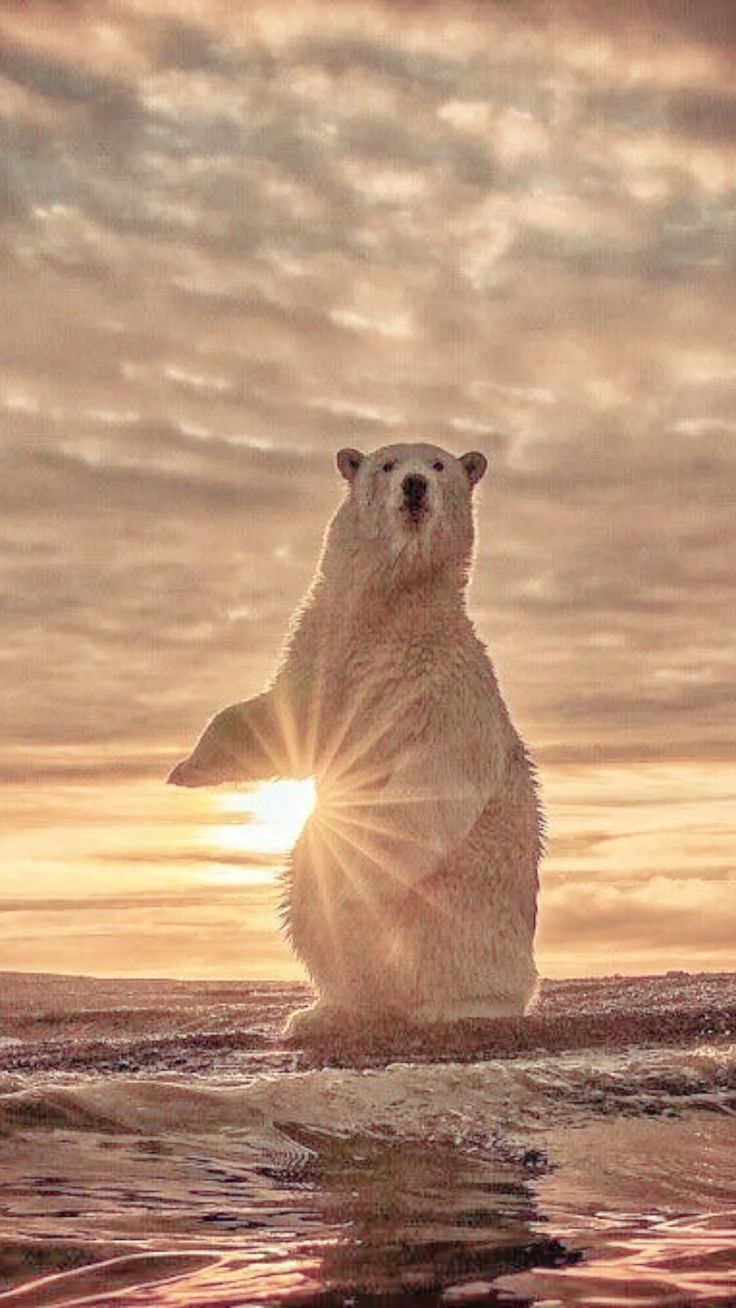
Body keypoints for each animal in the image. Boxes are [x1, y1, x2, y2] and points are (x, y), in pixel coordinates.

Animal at [168, 443, 542, 1041]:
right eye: (388, 464)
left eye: (439, 465)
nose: (414, 485)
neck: (387, 615)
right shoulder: (322, 650)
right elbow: (284, 720)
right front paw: (187, 767)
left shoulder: (443, 686)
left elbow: (431, 777)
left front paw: (358, 884)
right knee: (305, 901)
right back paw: (325, 1011)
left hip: (471, 898)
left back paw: (454, 1004)